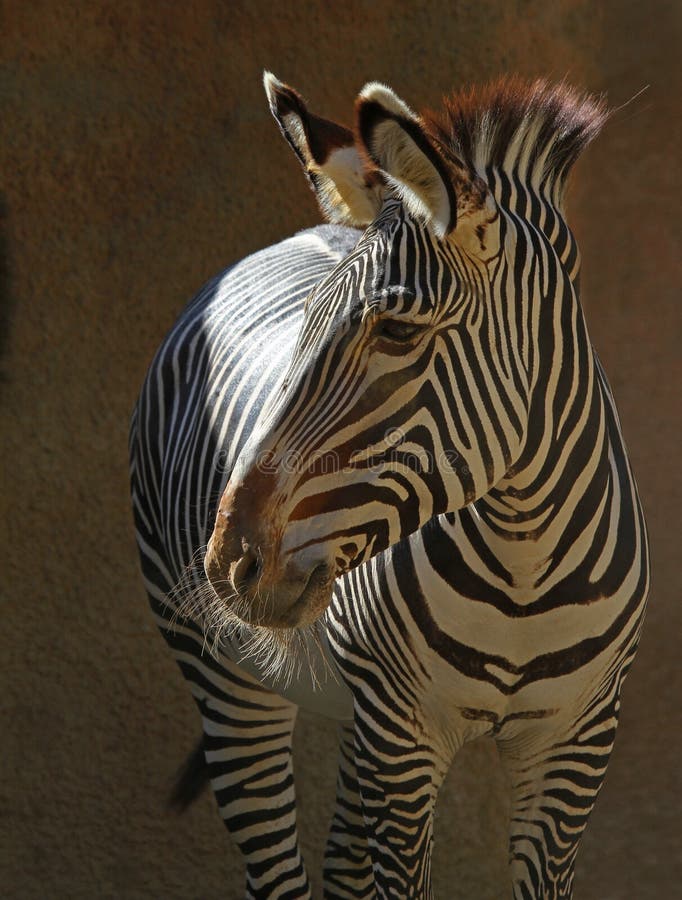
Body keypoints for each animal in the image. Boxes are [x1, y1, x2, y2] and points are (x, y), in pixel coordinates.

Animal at [129, 73, 649, 899]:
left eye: (397, 332)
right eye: (304, 328)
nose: (227, 563)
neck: (525, 561)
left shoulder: (577, 739)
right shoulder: (402, 737)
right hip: (227, 679)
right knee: (275, 870)